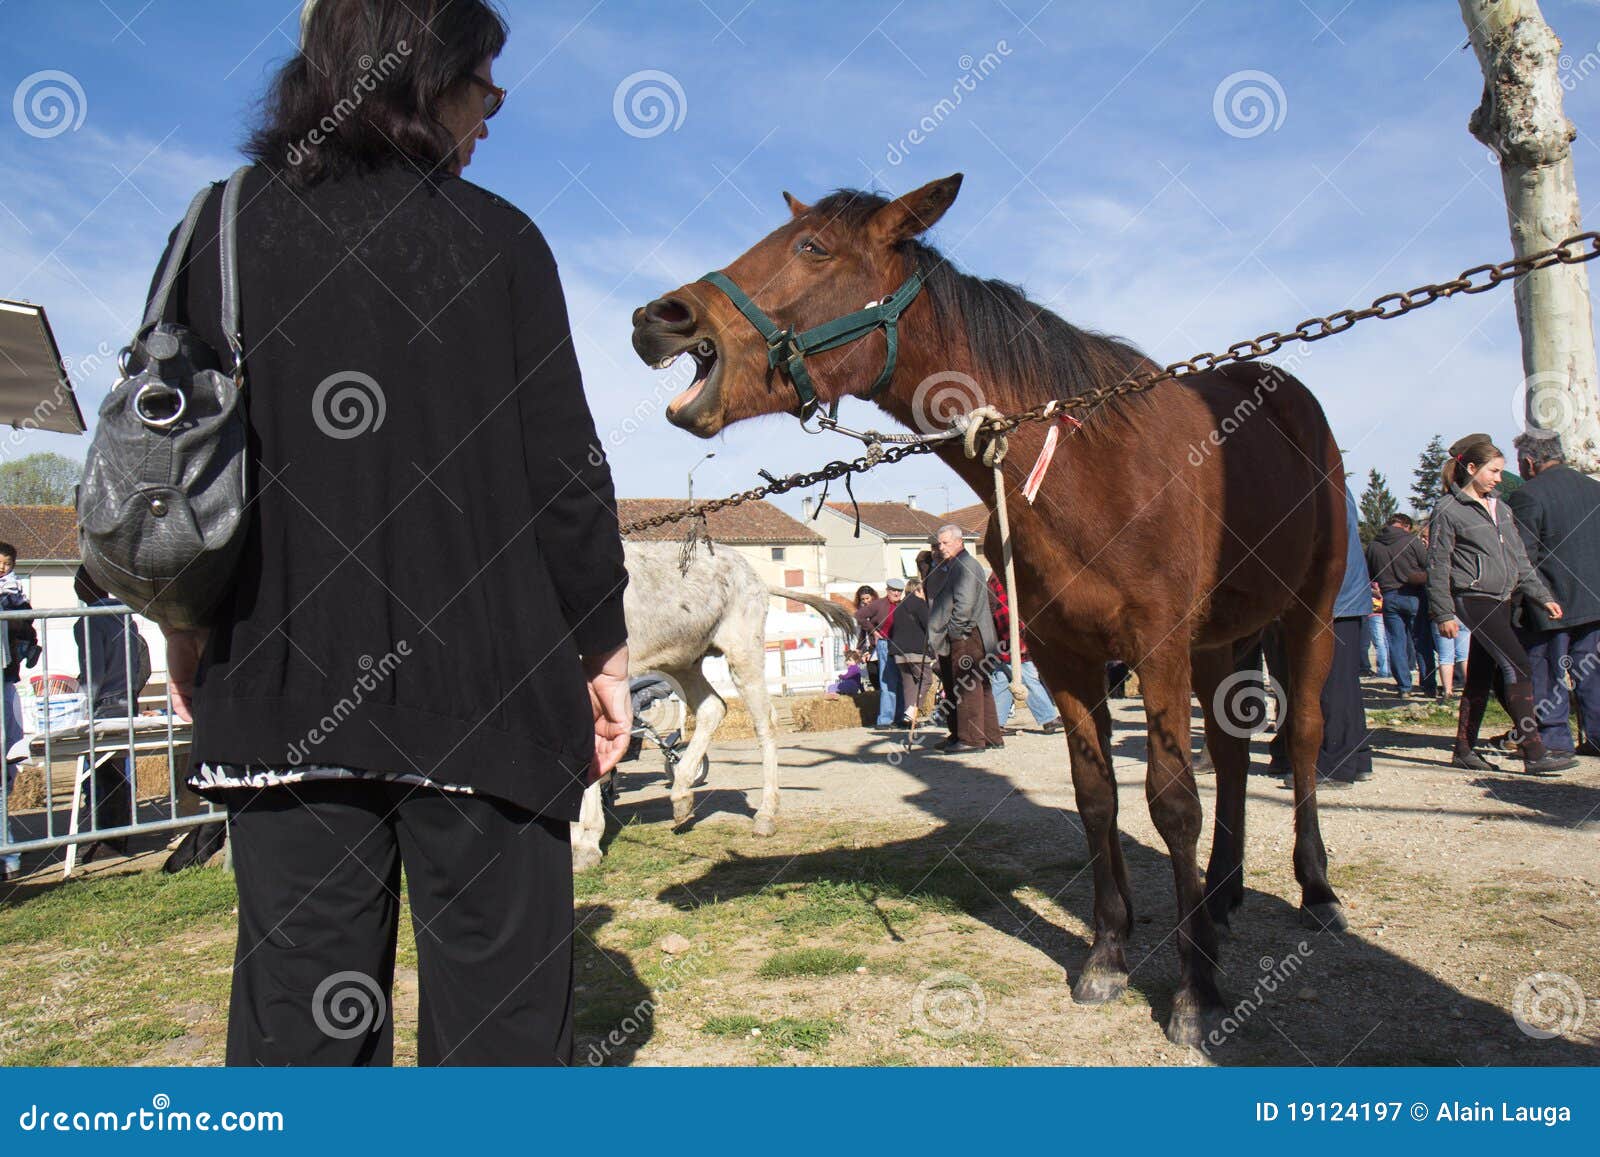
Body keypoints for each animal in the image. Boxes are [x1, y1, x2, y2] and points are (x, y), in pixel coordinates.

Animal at [571, 541, 854, 870]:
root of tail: (753, 575)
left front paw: (586, 843)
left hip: (743, 653)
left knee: (765, 721)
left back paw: (765, 816)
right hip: (682, 662)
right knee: (713, 708)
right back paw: (681, 797)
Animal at [629, 174, 1348, 1046]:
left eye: (813, 248)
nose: (660, 317)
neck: (1090, 464)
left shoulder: (1158, 648)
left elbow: (1173, 802)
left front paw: (1194, 990)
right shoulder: (1070, 656)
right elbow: (1096, 795)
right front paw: (1109, 951)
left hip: (1308, 612)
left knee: (1301, 735)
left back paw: (1314, 890)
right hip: (1226, 639)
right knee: (1236, 753)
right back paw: (1223, 894)